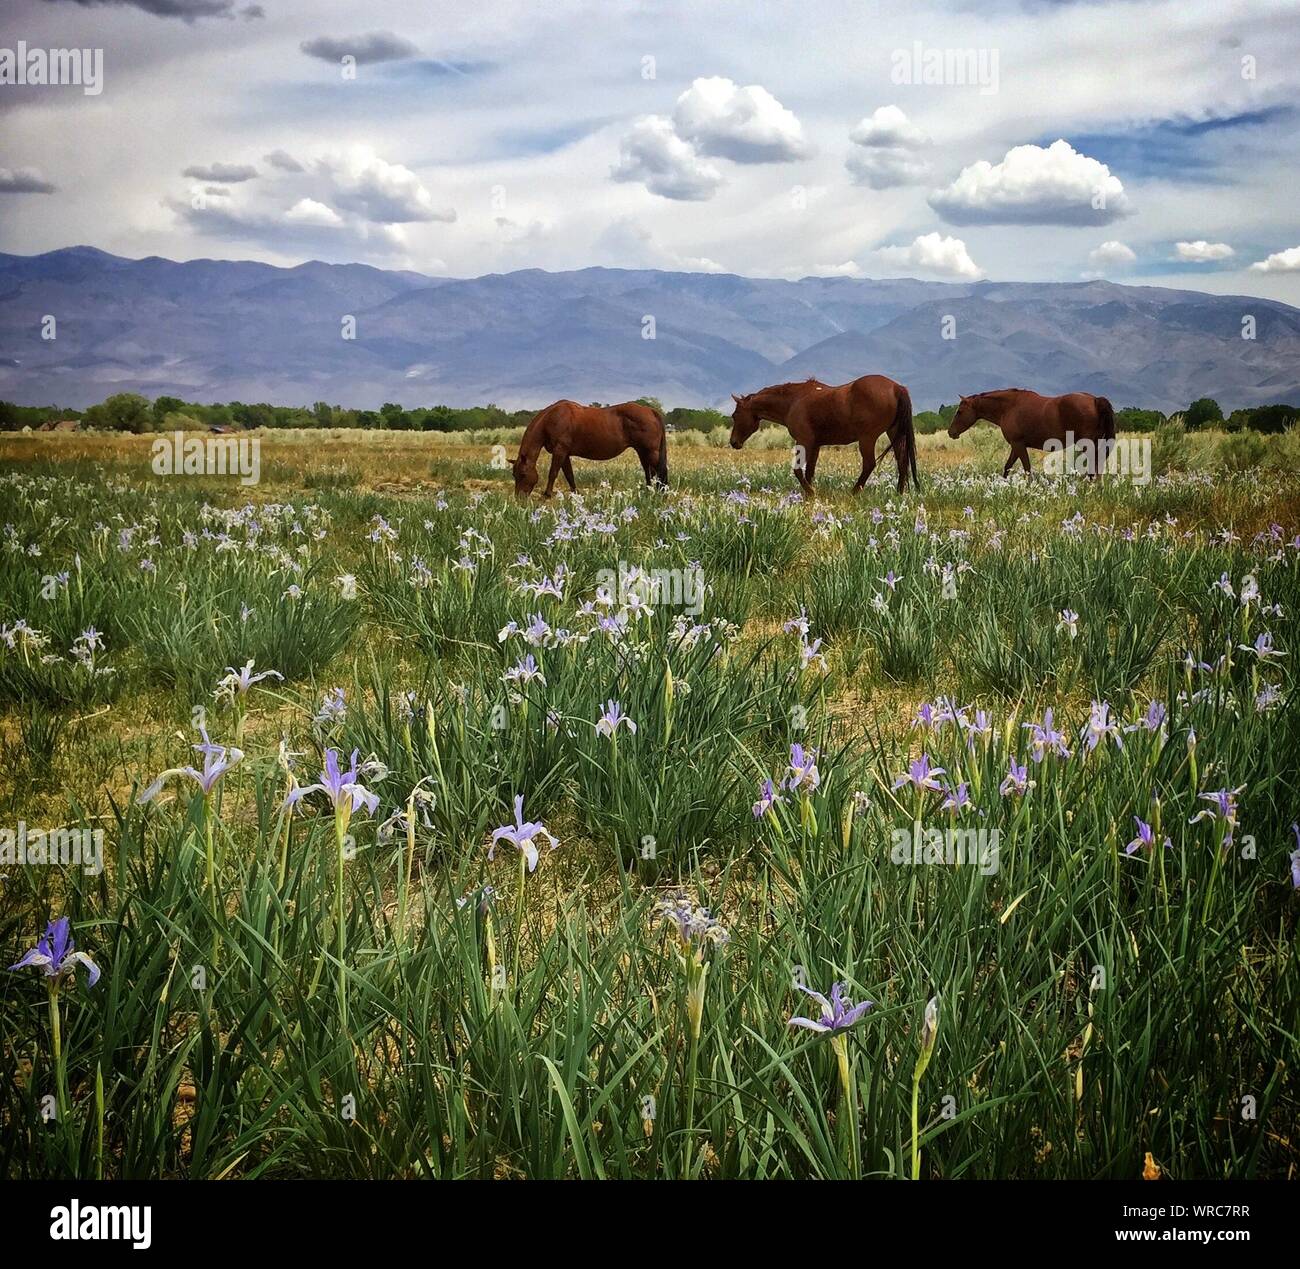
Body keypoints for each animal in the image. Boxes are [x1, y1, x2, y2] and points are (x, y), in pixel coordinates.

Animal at [510, 400, 668, 497]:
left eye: (523, 474)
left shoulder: (560, 451)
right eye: (514, 475)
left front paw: (547, 494)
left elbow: (553, 473)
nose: (519, 498)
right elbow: (569, 475)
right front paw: (575, 493)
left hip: (650, 452)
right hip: (642, 451)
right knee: (649, 472)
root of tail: (650, 410)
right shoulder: (565, 454)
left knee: (658, 471)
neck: (551, 419)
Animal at [729, 374, 919, 494]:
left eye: (735, 415)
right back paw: (899, 493)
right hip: (894, 433)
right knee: (902, 461)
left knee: (869, 464)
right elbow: (809, 472)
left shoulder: (804, 441)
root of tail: (896, 387)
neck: (794, 401)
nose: (733, 442)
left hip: (867, 438)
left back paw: (854, 492)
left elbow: (798, 471)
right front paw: (808, 496)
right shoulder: (815, 445)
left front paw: (812, 492)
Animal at [947, 389, 1116, 478]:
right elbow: (1008, 466)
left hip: (1087, 443)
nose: (951, 432)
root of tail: (1094, 400)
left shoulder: (1018, 444)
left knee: (1095, 464)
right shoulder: (1016, 446)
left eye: (959, 412)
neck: (1008, 408)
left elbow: (1027, 468)